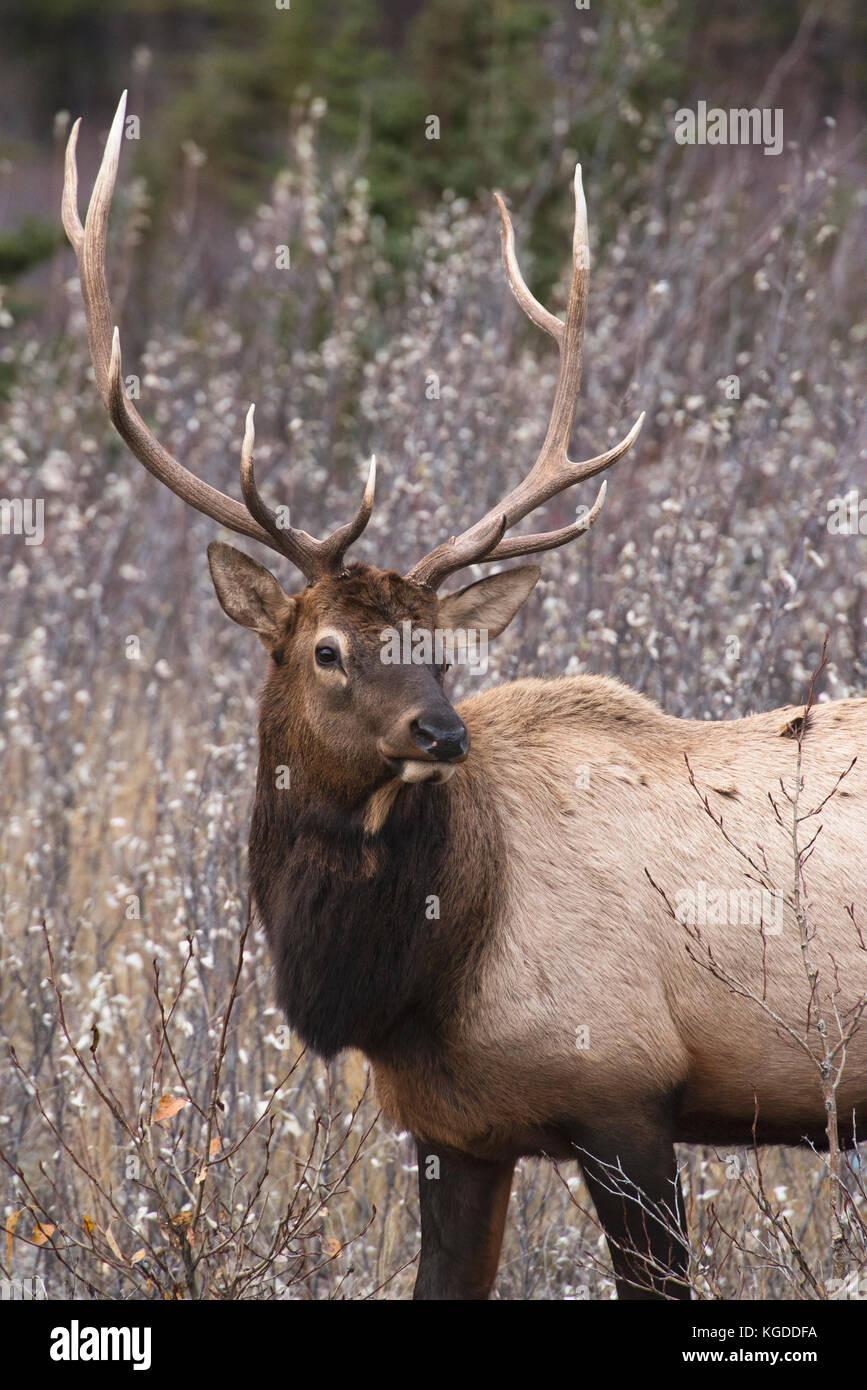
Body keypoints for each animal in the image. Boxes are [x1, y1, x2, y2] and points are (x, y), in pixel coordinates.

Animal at [64, 94, 867, 1300]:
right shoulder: (452, 1128)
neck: (416, 978)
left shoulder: (625, 1090)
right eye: (327, 650)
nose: (439, 732)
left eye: (443, 652)